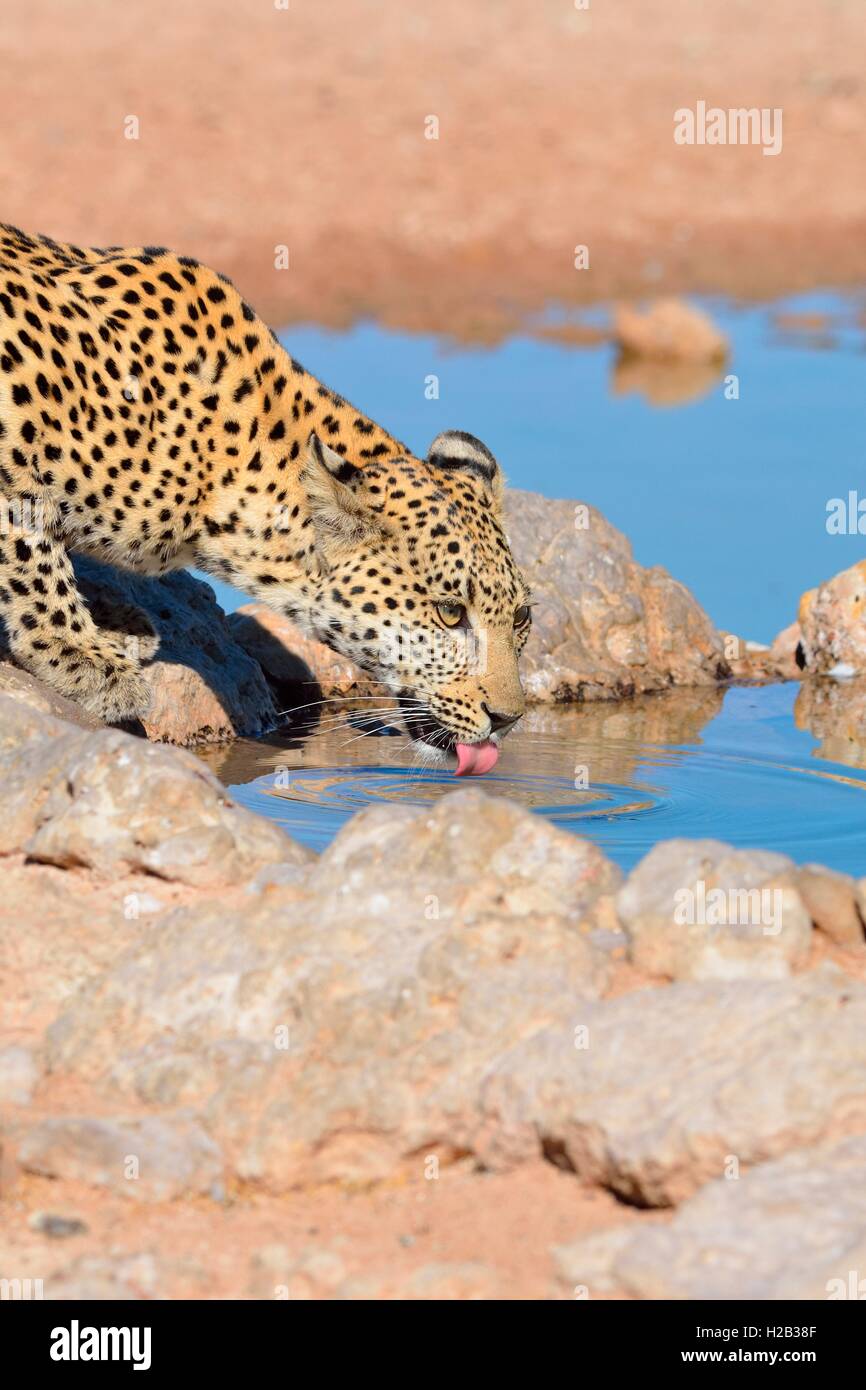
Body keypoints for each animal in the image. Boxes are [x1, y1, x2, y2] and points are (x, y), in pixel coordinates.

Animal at [0, 223, 531, 770]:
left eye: (521, 617)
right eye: (449, 612)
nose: (508, 719)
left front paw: (115, 625)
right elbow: (32, 555)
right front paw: (77, 655)